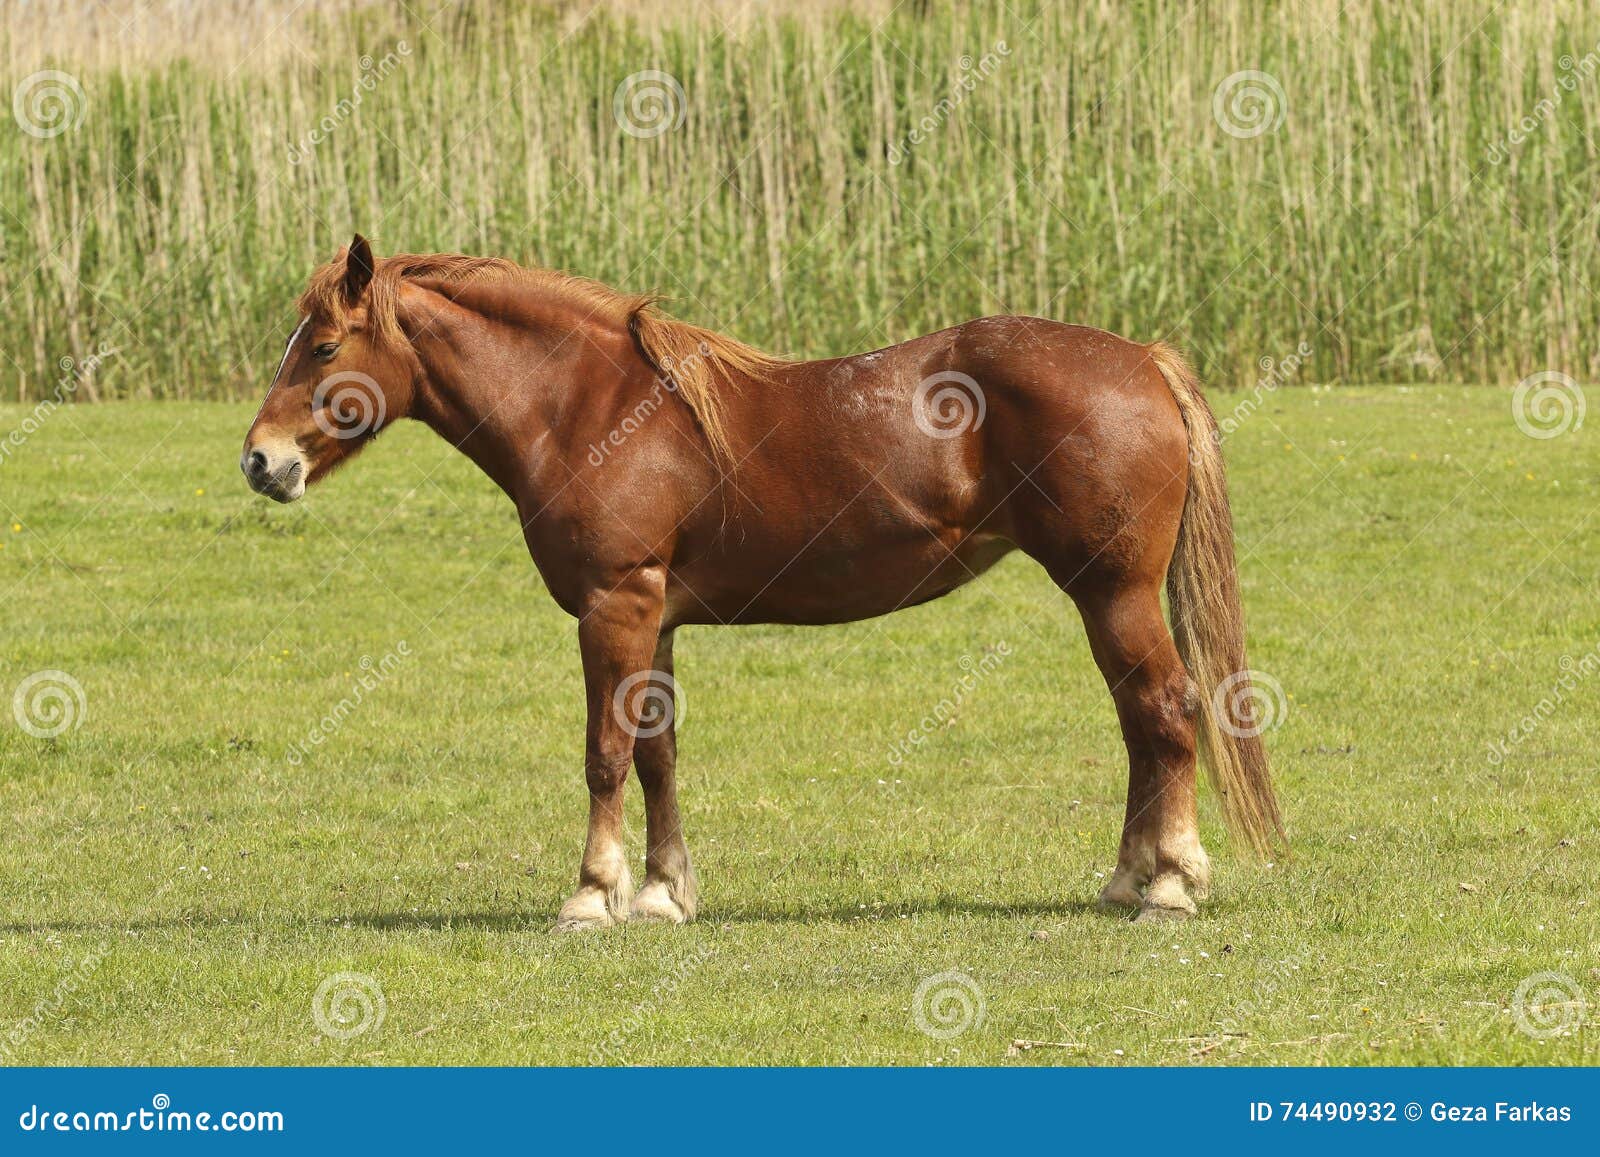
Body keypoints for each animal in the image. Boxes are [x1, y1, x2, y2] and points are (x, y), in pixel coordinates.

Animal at [241, 235, 1285, 929]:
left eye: (323, 347)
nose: (260, 462)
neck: (594, 407)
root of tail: (1143, 360)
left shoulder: (614, 607)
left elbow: (604, 753)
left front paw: (591, 895)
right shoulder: (654, 617)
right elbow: (657, 754)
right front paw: (662, 893)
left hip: (1113, 591)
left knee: (1166, 712)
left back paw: (1170, 884)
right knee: (1141, 724)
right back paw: (1127, 878)